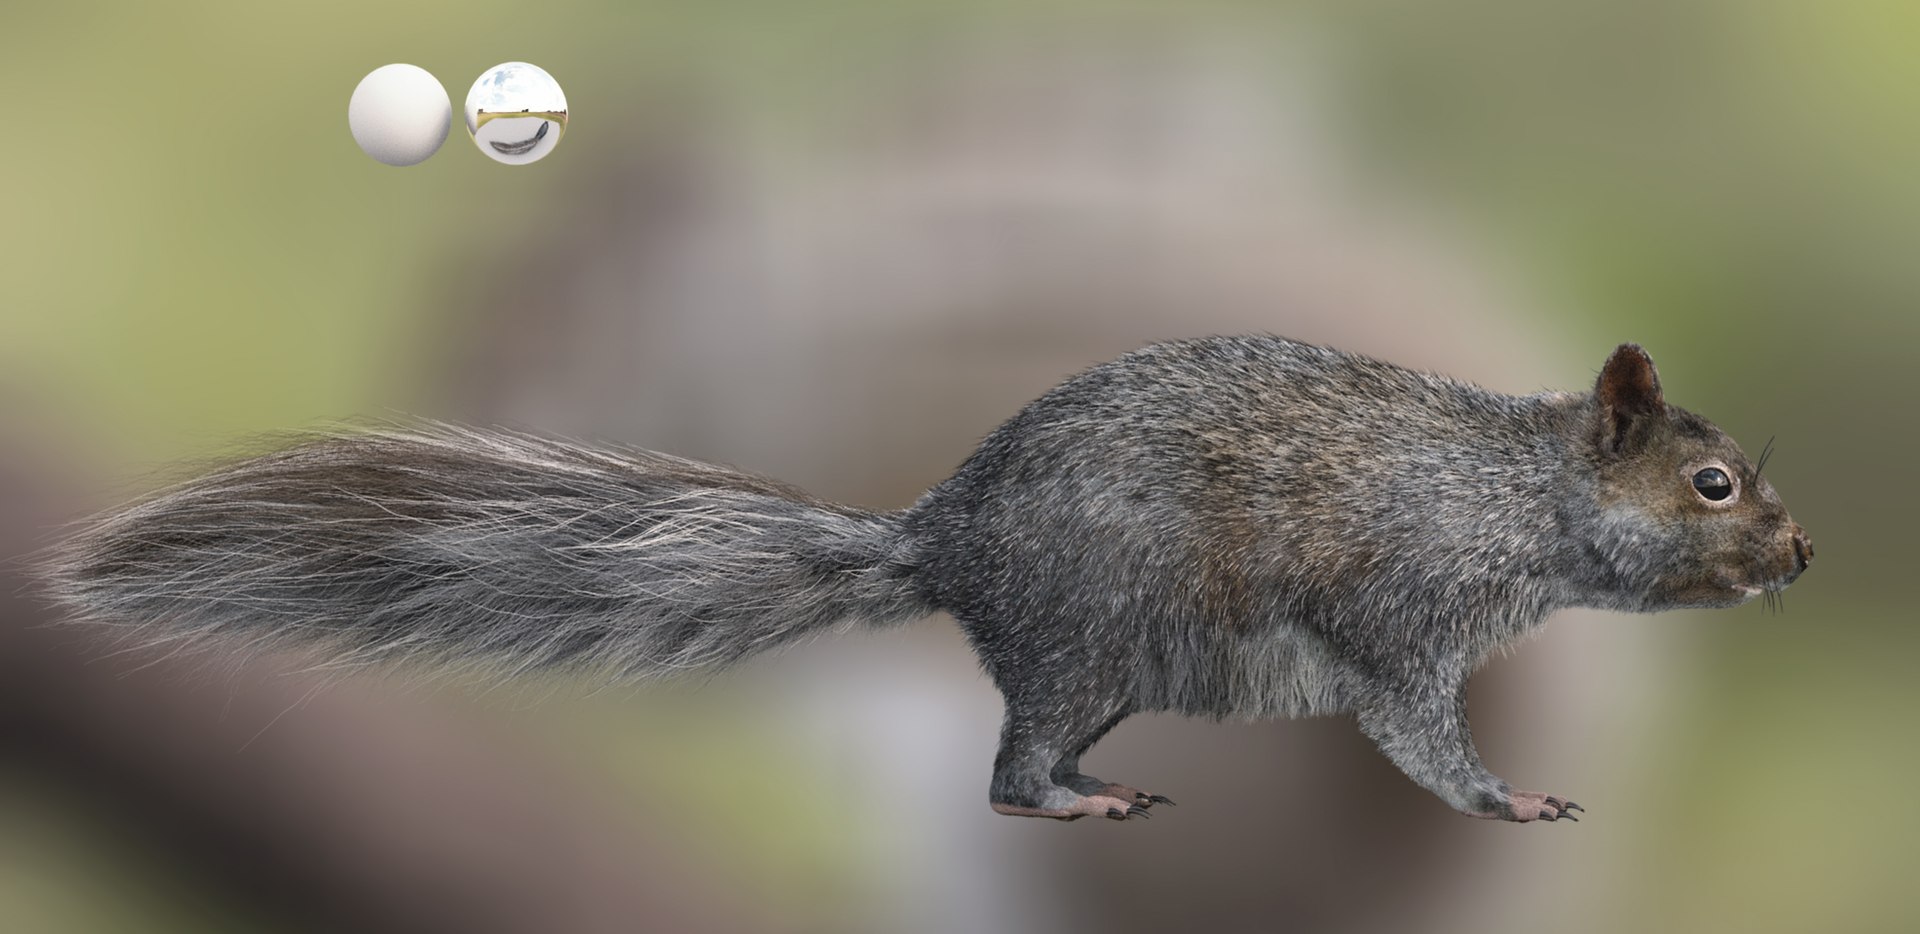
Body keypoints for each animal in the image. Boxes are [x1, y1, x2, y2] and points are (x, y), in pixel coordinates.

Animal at [44, 336, 1811, 824]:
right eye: (1712, 482)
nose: (1802, 552)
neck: (1516, 494)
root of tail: (944, 537)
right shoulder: (1400, 614)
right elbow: (1418, 731)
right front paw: (1505, 797)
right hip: (1092, 638)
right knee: (1009, 776)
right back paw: (1080, 801)